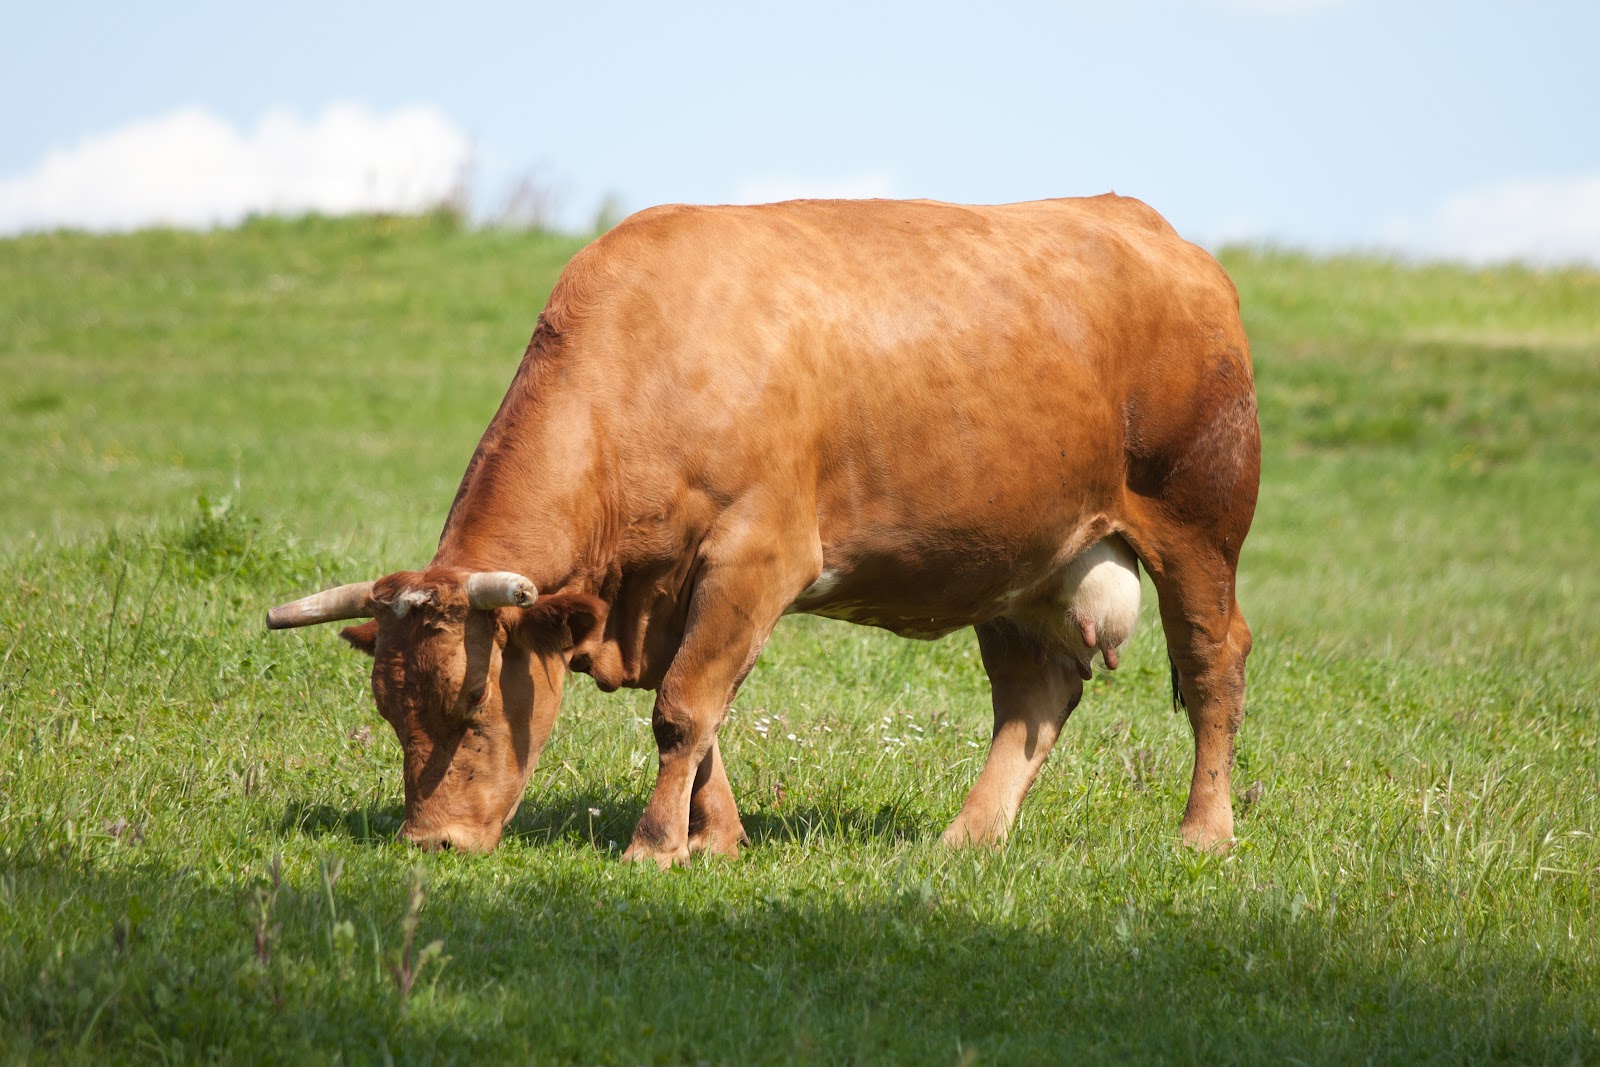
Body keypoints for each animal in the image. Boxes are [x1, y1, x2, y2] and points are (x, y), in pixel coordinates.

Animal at [266, 195, 1259, 867]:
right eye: (388, 710)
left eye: (471, 707)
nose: (429, 842)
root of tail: (1151, 228)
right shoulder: (670, 591)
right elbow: (701, 715)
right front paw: (718, 839)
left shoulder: (758, 555)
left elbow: (682, 707)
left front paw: (654, 844)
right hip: (1019, 560)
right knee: (1034, 696)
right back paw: (965, 838)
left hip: (1197, 525)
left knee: (1214, 663)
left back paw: (1204, 831)